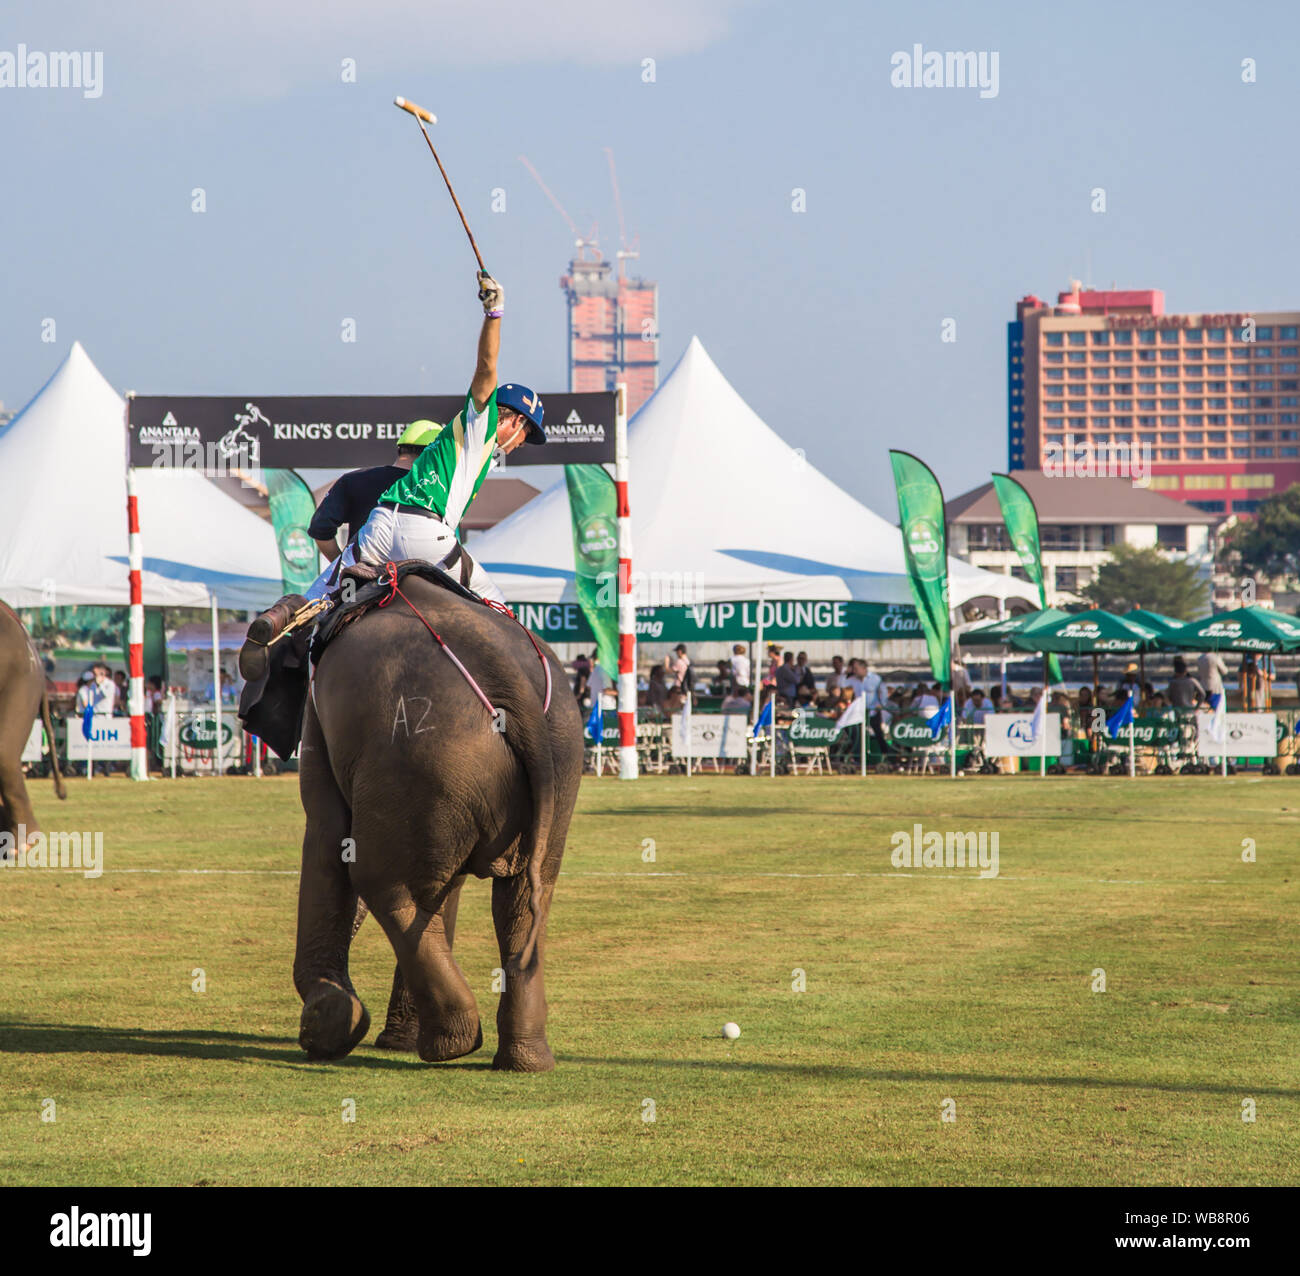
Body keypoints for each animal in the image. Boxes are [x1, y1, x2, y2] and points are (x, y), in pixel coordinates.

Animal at [293, 574, 584, 1071]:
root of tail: (508, 677)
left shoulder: (319, 719)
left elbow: (328, 835)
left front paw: (327, 1028)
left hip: (419, 754)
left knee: (383, 881)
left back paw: (450, 1044)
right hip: (549, 762)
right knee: (526, 895)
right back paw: (522, 1059)